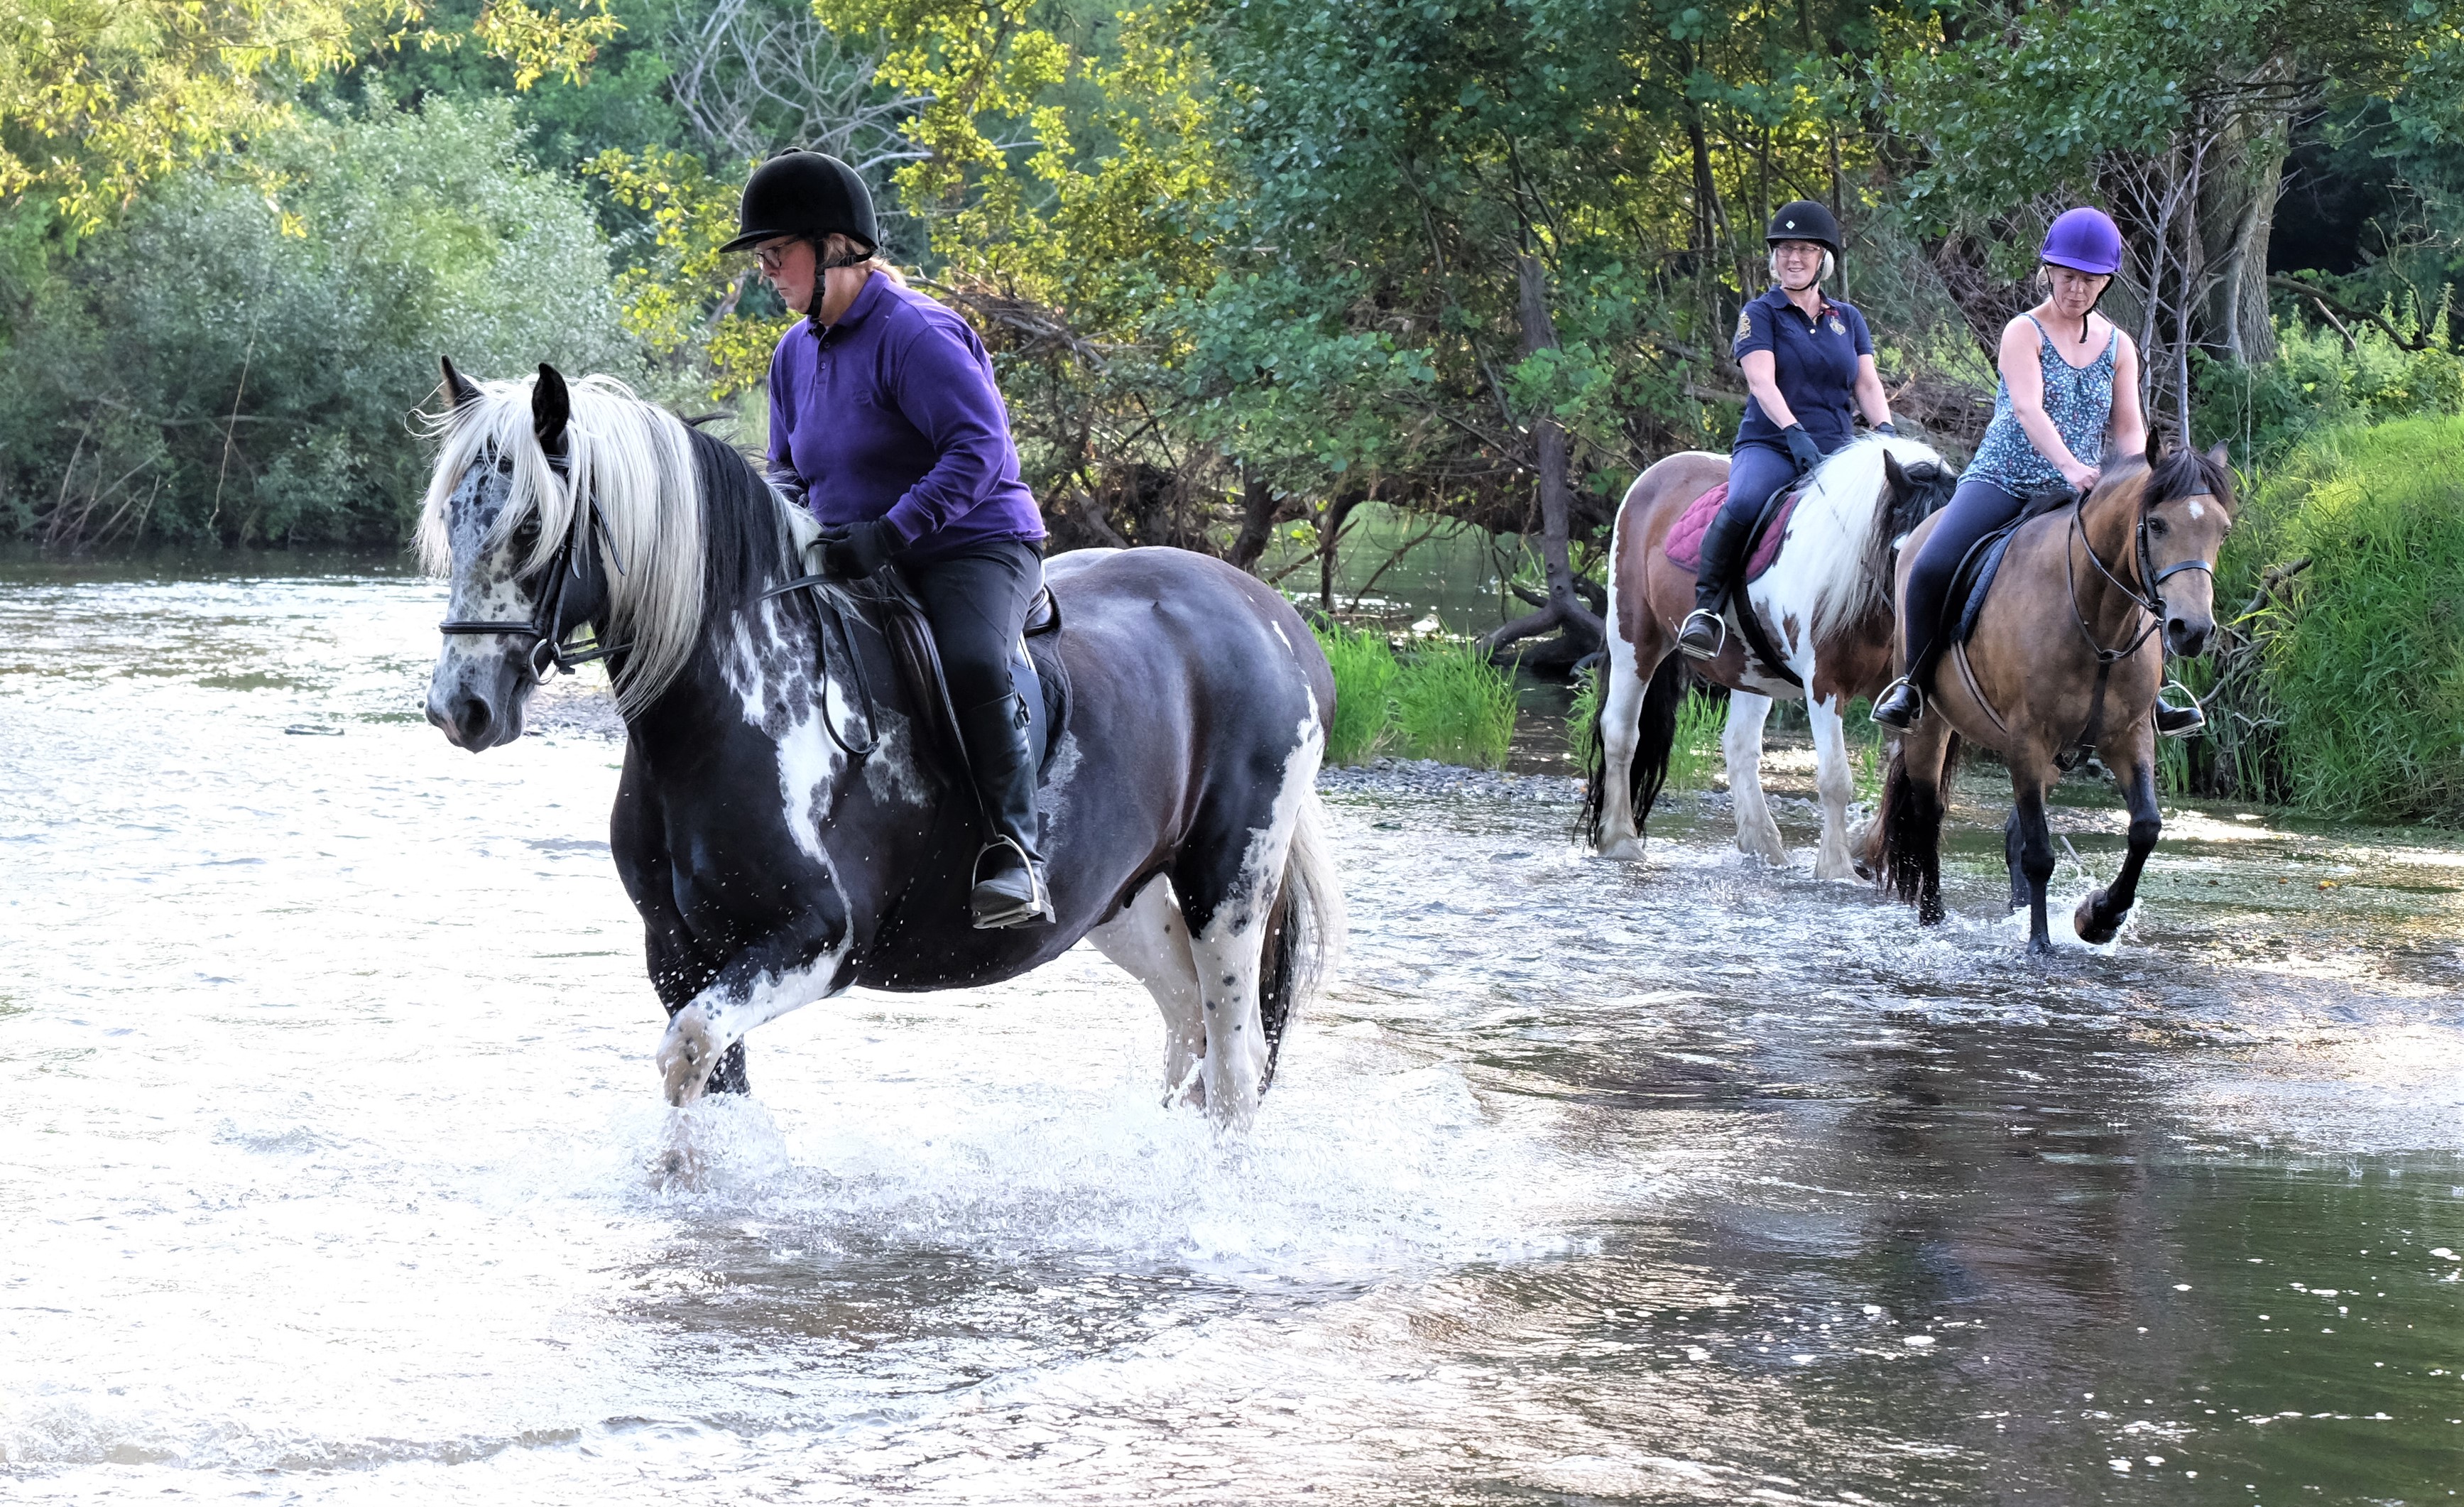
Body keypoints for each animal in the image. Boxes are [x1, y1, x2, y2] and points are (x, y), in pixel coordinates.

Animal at [418, 360, 1343, 1127]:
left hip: (1229, 888)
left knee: (1233, 1064)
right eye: (453, 519)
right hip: (1127, 899)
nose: (461, 707)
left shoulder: (819, 940)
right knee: (1187, 1023)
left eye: (530, 528)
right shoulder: (677, 948)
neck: (732, 703)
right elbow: (713, 1083)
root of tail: (1274, 619)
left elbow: (688, 1053)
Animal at [1583, 436, 1956, 877]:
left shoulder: (1897, 697)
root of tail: (1655, 473)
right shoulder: (1824, 685)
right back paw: (1621, 841)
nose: (1917, 634)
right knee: (1622, 733)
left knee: (1739, 746)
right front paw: (1837, 867)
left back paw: (1764, 847)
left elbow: (1904, 778)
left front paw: (1864, 848)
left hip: (1751, 669)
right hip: (1634, 642)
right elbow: (1836, 778)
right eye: (1900, 552)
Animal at [1864, 443, 2234, 954]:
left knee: (2011, 830)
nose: (2192, 630)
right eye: (2157, 524)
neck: (2098, 622)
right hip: (1931, 726)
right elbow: (2039, 852)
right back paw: (1933, 918)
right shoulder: (2027, 739)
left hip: (2056, 757)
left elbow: (2145, 828)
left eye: (2222, 530)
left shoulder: (2130, 736)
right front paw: (2040, 945)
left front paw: (2099, 918)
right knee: (1929, 815)